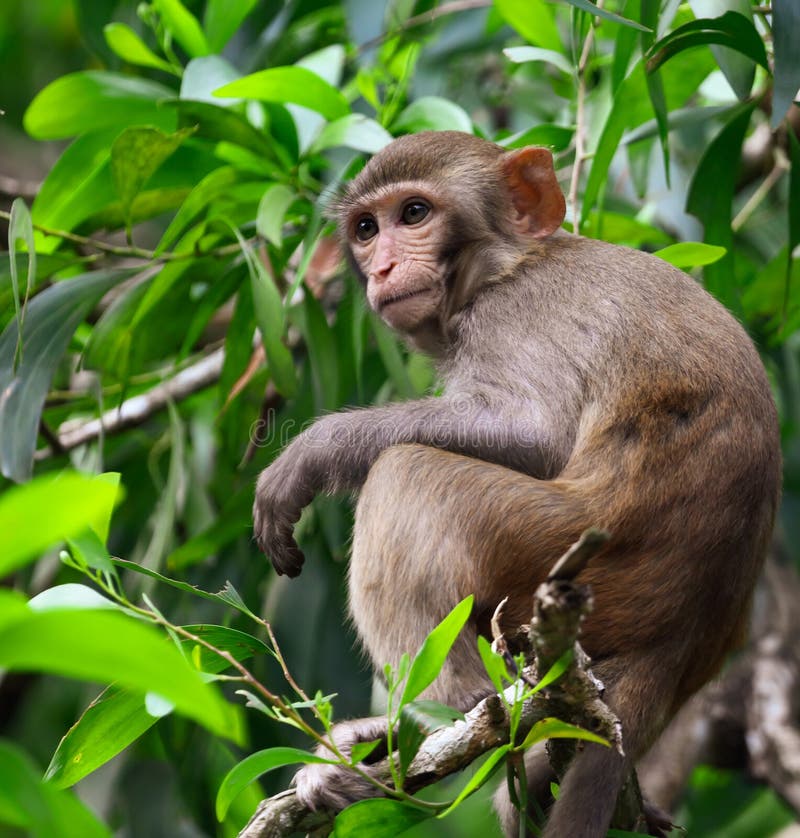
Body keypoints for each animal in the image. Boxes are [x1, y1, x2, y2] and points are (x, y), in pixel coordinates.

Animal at [252, 131, 781, 837]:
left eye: (413, 214)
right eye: (366, 228)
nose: (383, 268)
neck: (509, 264)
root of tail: (680, 641)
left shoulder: (515, 315)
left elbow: (532, 431)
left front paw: (311, 453)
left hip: (556, 550)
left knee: (404, 474)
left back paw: (434, 713)